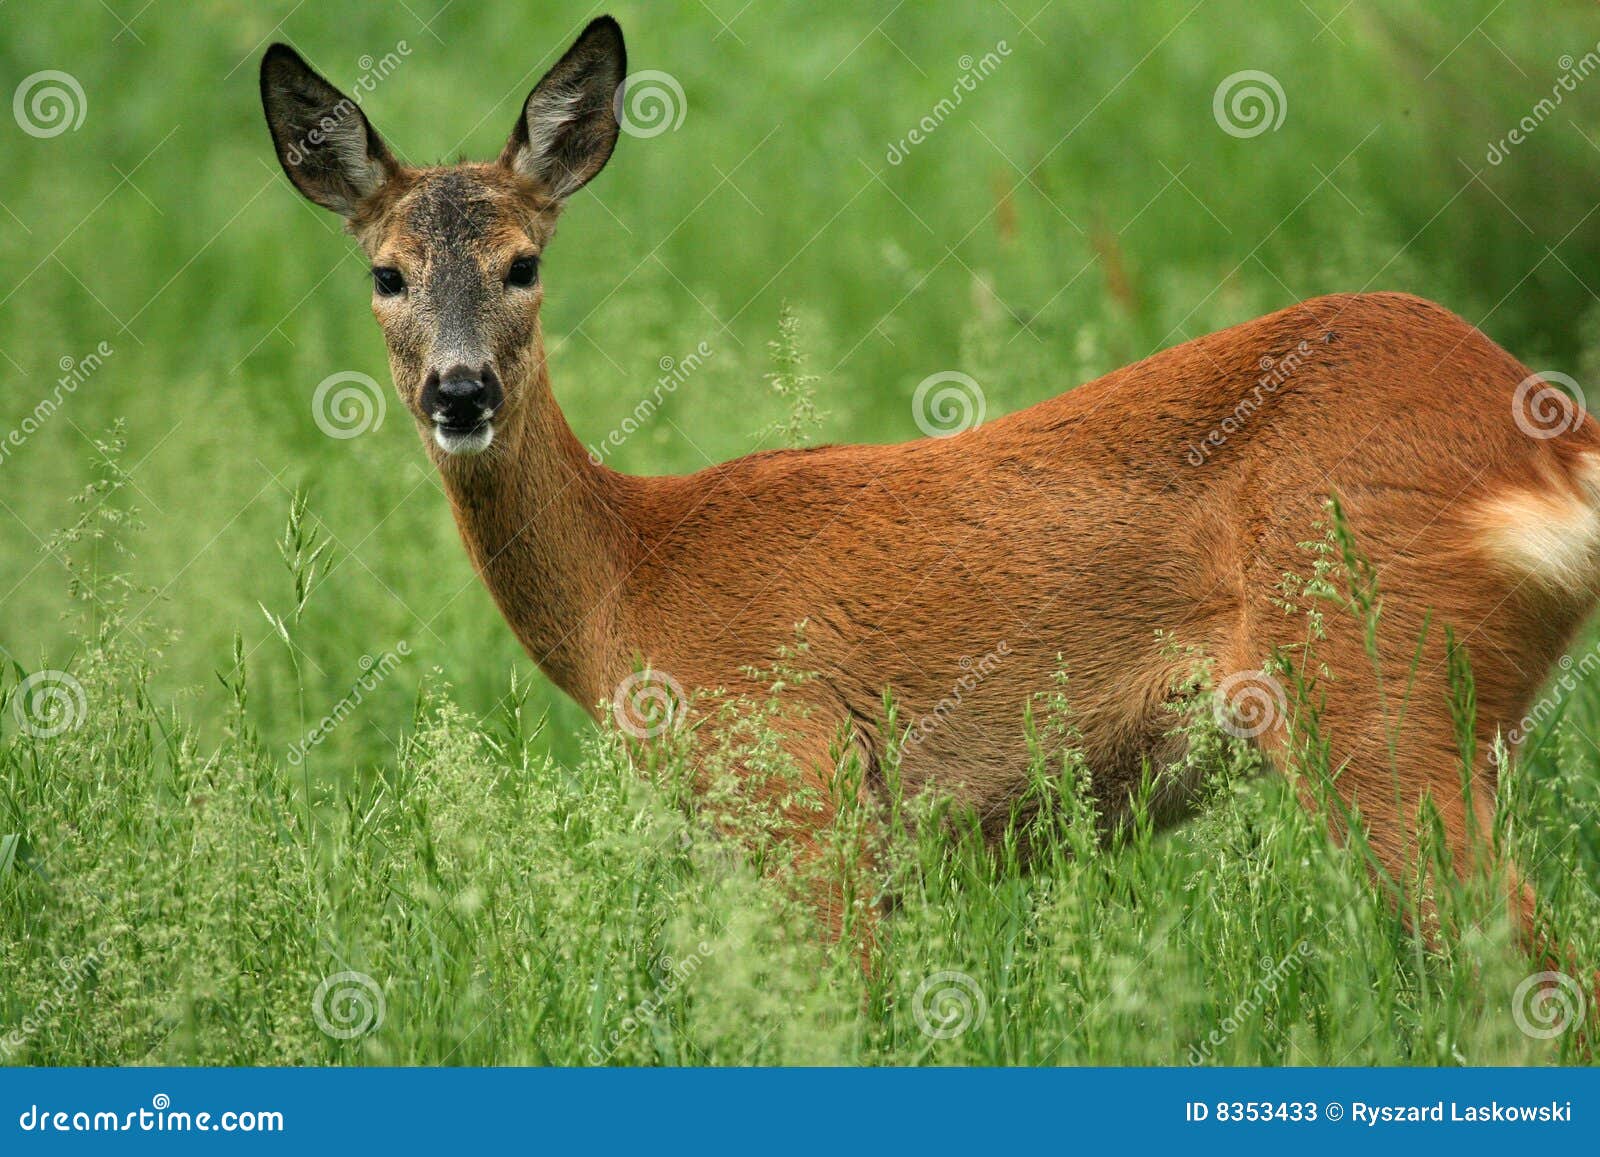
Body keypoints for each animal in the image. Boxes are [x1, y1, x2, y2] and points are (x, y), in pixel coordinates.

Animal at [261, 16, 1600, 965]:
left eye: (524, 261)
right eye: (385, 272)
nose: (460, 389)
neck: (628, 576)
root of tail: (1542, 431)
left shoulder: (807, 802)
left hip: (1379, 685)